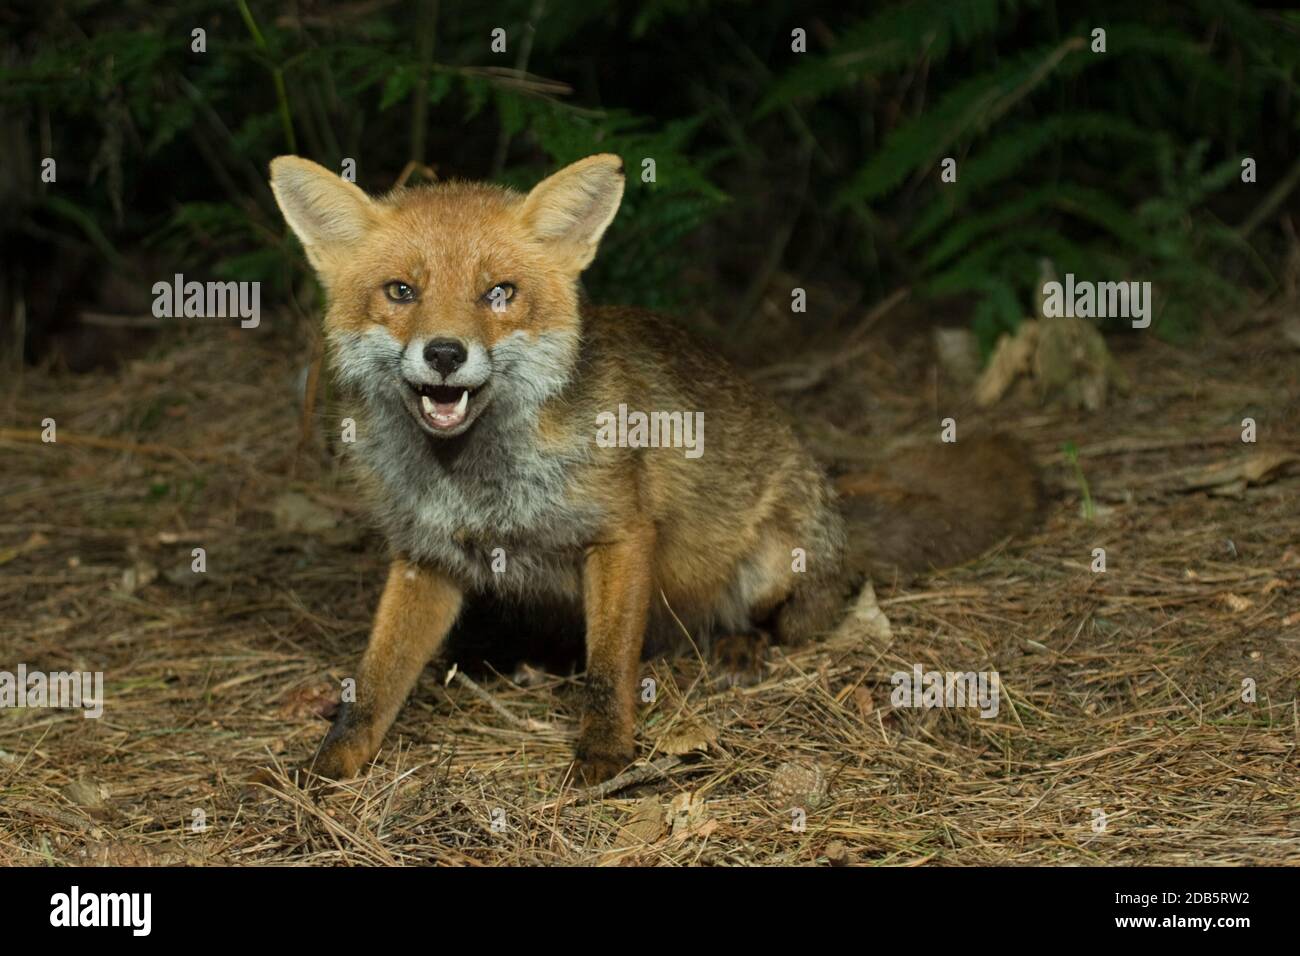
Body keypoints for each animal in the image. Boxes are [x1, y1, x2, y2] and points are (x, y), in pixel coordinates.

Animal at [268, 153, 1041, 784]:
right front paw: (331, 767)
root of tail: (843, 520)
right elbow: (373, 682)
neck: (476, 481)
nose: (446, 354)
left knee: (784, 622)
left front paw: (607, 755)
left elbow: (610, 669)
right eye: (401, 291)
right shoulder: (424, 559)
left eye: (500, 293)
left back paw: (738, 649)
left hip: (773, 568)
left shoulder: (621, 534)